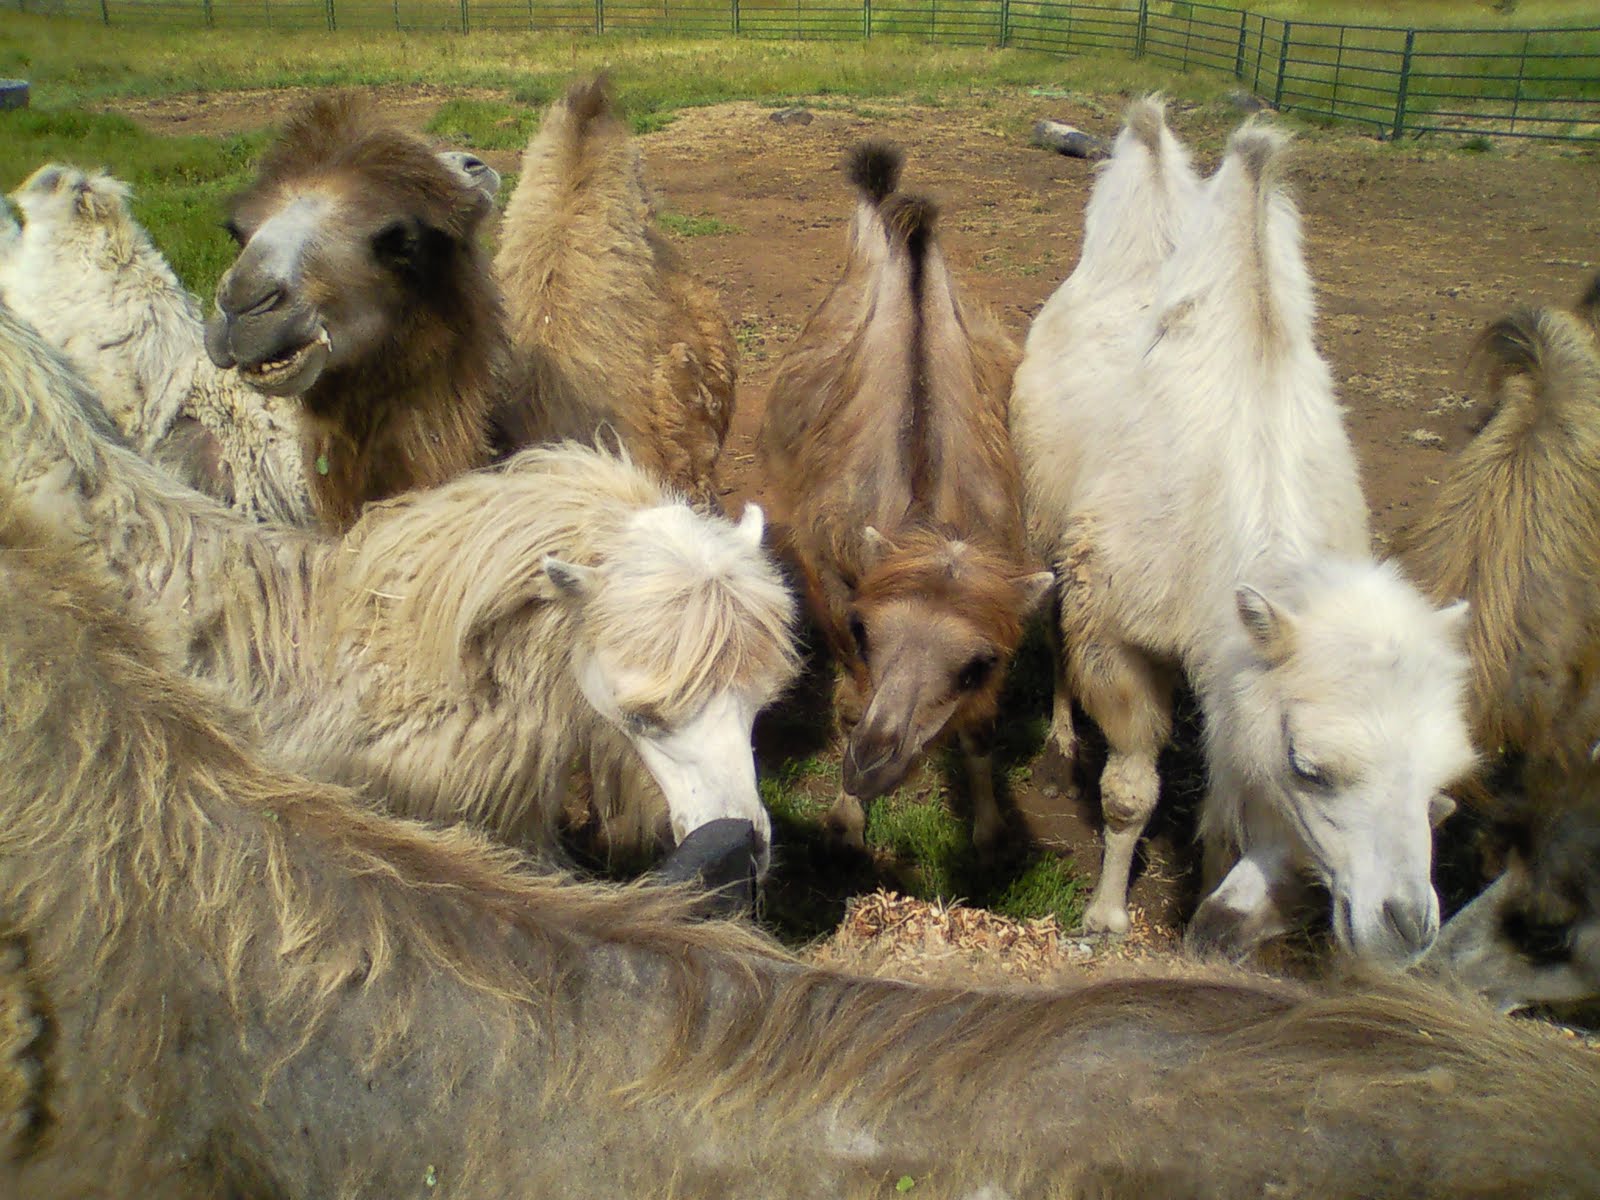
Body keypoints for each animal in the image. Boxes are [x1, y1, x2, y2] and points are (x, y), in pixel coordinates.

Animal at [759, 142, 1051, 853]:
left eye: (977, 665)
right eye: (867, 633)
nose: (872, 765)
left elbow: (979, 728)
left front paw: (989, 828)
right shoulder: (834, 581)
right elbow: (849, 702)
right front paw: (844, 822)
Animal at [1011, 113, 1474, 962]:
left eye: (1444, 781)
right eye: (1309, 766)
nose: (1405, 927)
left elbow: (1226, 812)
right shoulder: (1117, 622)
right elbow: (1130, 792)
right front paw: (1106, 915)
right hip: (1042, 516)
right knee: (1056, 625)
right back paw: (1060, 747)